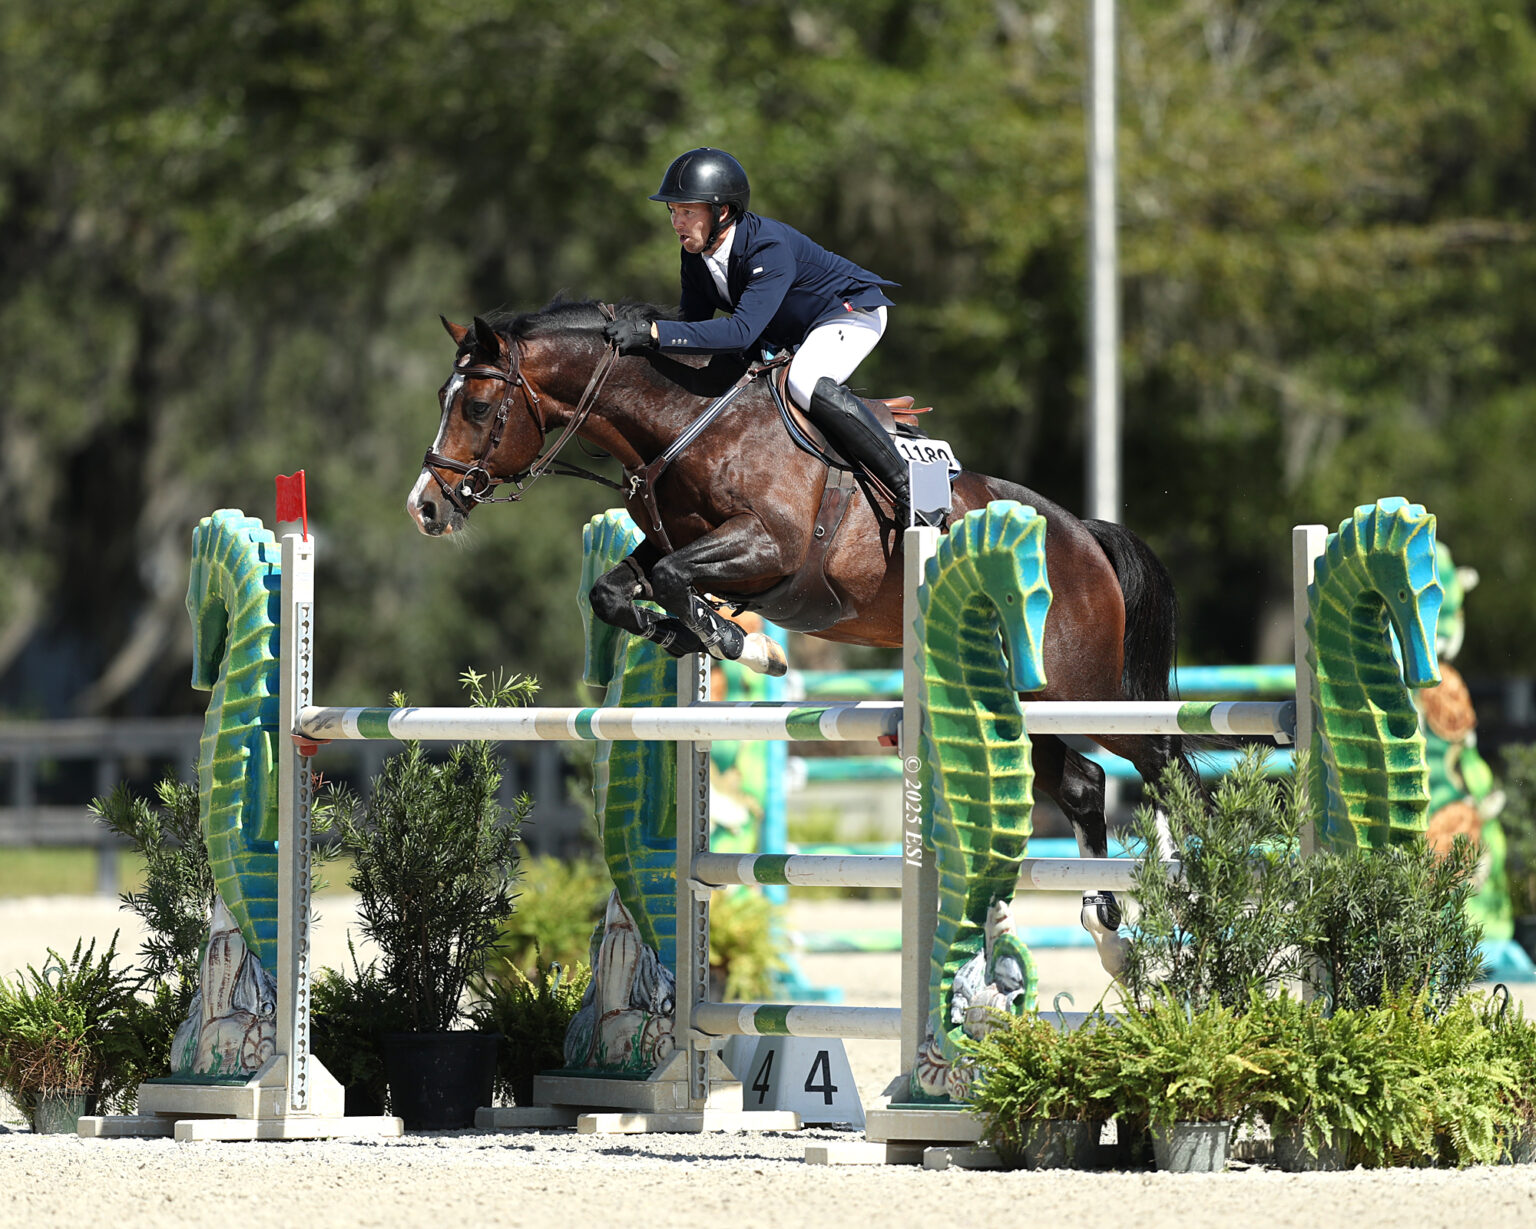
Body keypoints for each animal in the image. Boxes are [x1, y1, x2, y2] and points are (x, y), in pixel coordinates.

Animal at [406, 299, 1194, 972]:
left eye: (478, 406)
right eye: (446, 399)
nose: (424, 508)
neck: (685, 423)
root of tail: (1082, 533)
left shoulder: (768, 550)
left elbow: (673, 577)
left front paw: (741, 645)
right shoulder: (671, 547)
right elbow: (623, 588)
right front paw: (697, 636)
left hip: (1080, 685)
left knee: (1159, 759)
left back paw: (1183, 886)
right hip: (1023, 703)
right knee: (1085, 784)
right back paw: (1107, 925)